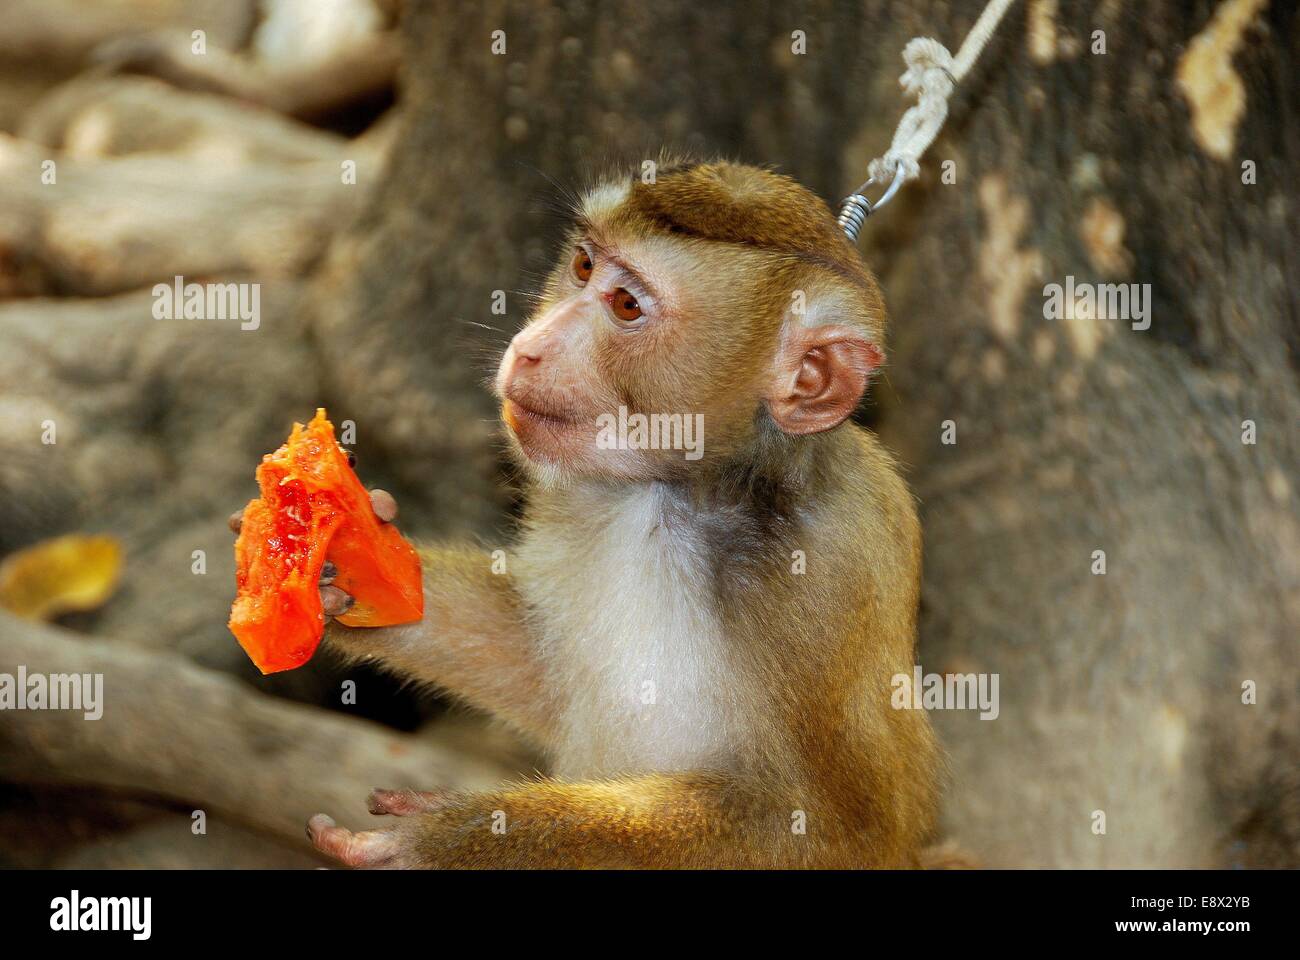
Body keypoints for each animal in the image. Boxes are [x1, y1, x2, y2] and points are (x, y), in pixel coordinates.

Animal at [233, 159, 940, 868]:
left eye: (626, 305)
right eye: (582, 265)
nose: (532, 346)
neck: (684, 493)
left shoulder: (826, 575)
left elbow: (826, 832)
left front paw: (450, 839)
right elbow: (533, 667)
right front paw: (339, 561)